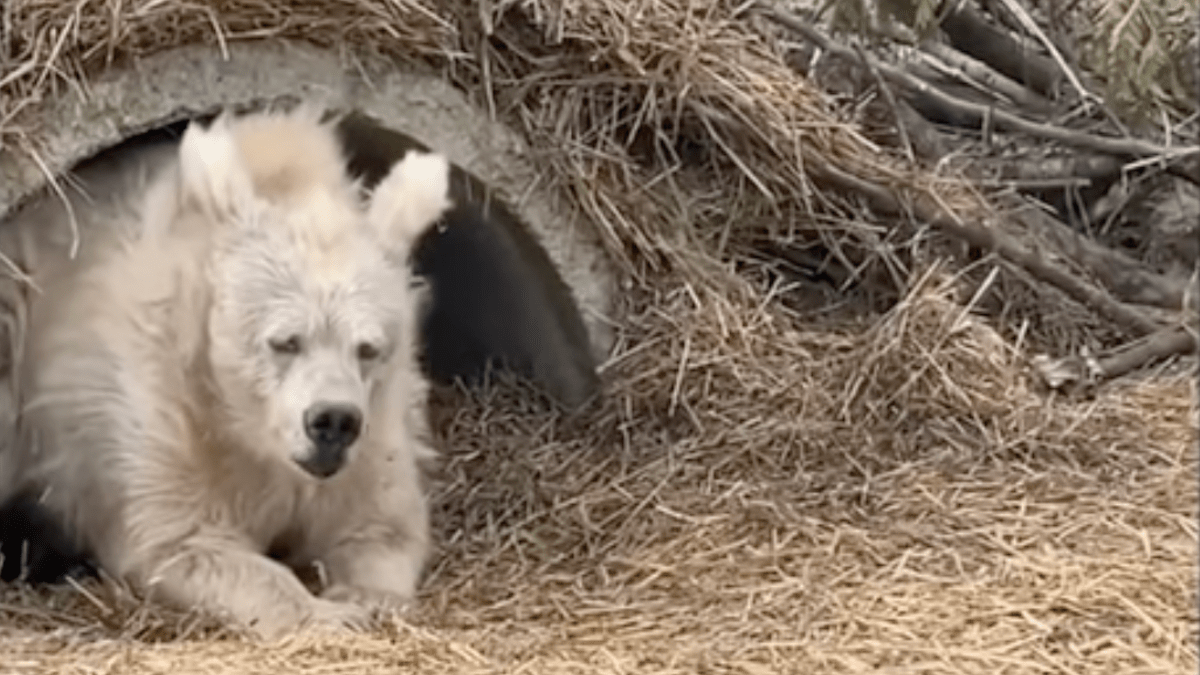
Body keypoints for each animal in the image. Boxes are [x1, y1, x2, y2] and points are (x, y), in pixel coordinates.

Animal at [0, 105, 451, 638]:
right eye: (285, 341)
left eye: (367, 348)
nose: (333, 422)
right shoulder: (161, 413)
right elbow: (183, 539)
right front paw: (330, 615)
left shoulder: (377, 429)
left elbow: (381, 525)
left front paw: (362, 597)